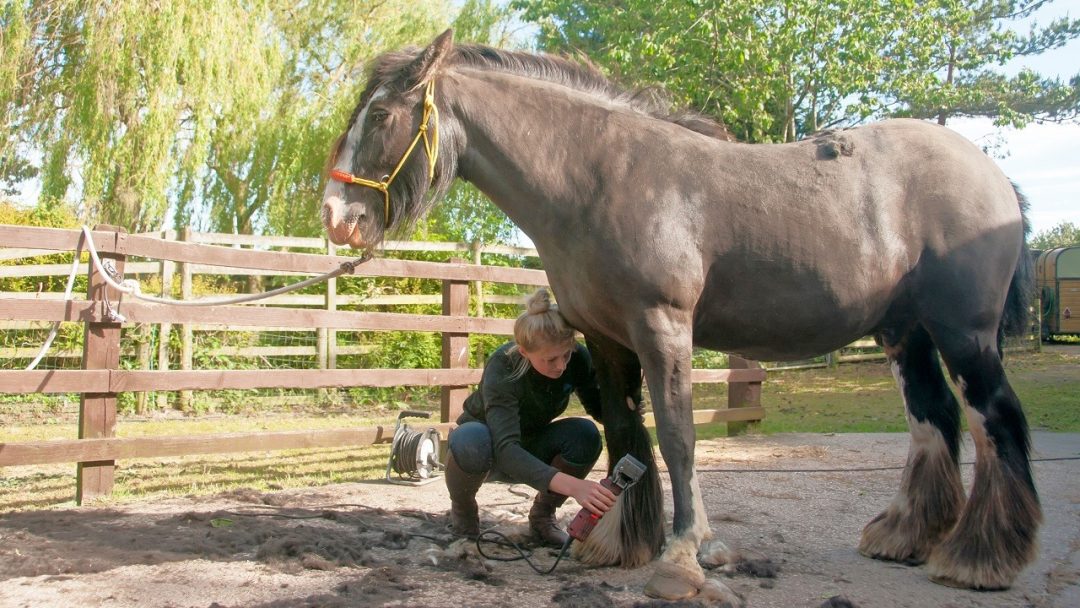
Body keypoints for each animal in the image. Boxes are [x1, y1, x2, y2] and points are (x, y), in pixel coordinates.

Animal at [319, 29, 1040, 601]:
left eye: (380, 114)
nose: (334, 216)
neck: (600, 178)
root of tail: (993, 178)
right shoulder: (607, 340)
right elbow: (623, 434)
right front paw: (618, 541)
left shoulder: (664, 328)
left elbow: (678, 437)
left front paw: (683, 557)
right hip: (905, 333)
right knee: (934, 420)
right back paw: (907, 536)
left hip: (963, 334)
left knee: (994, 422)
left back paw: (979, 558)